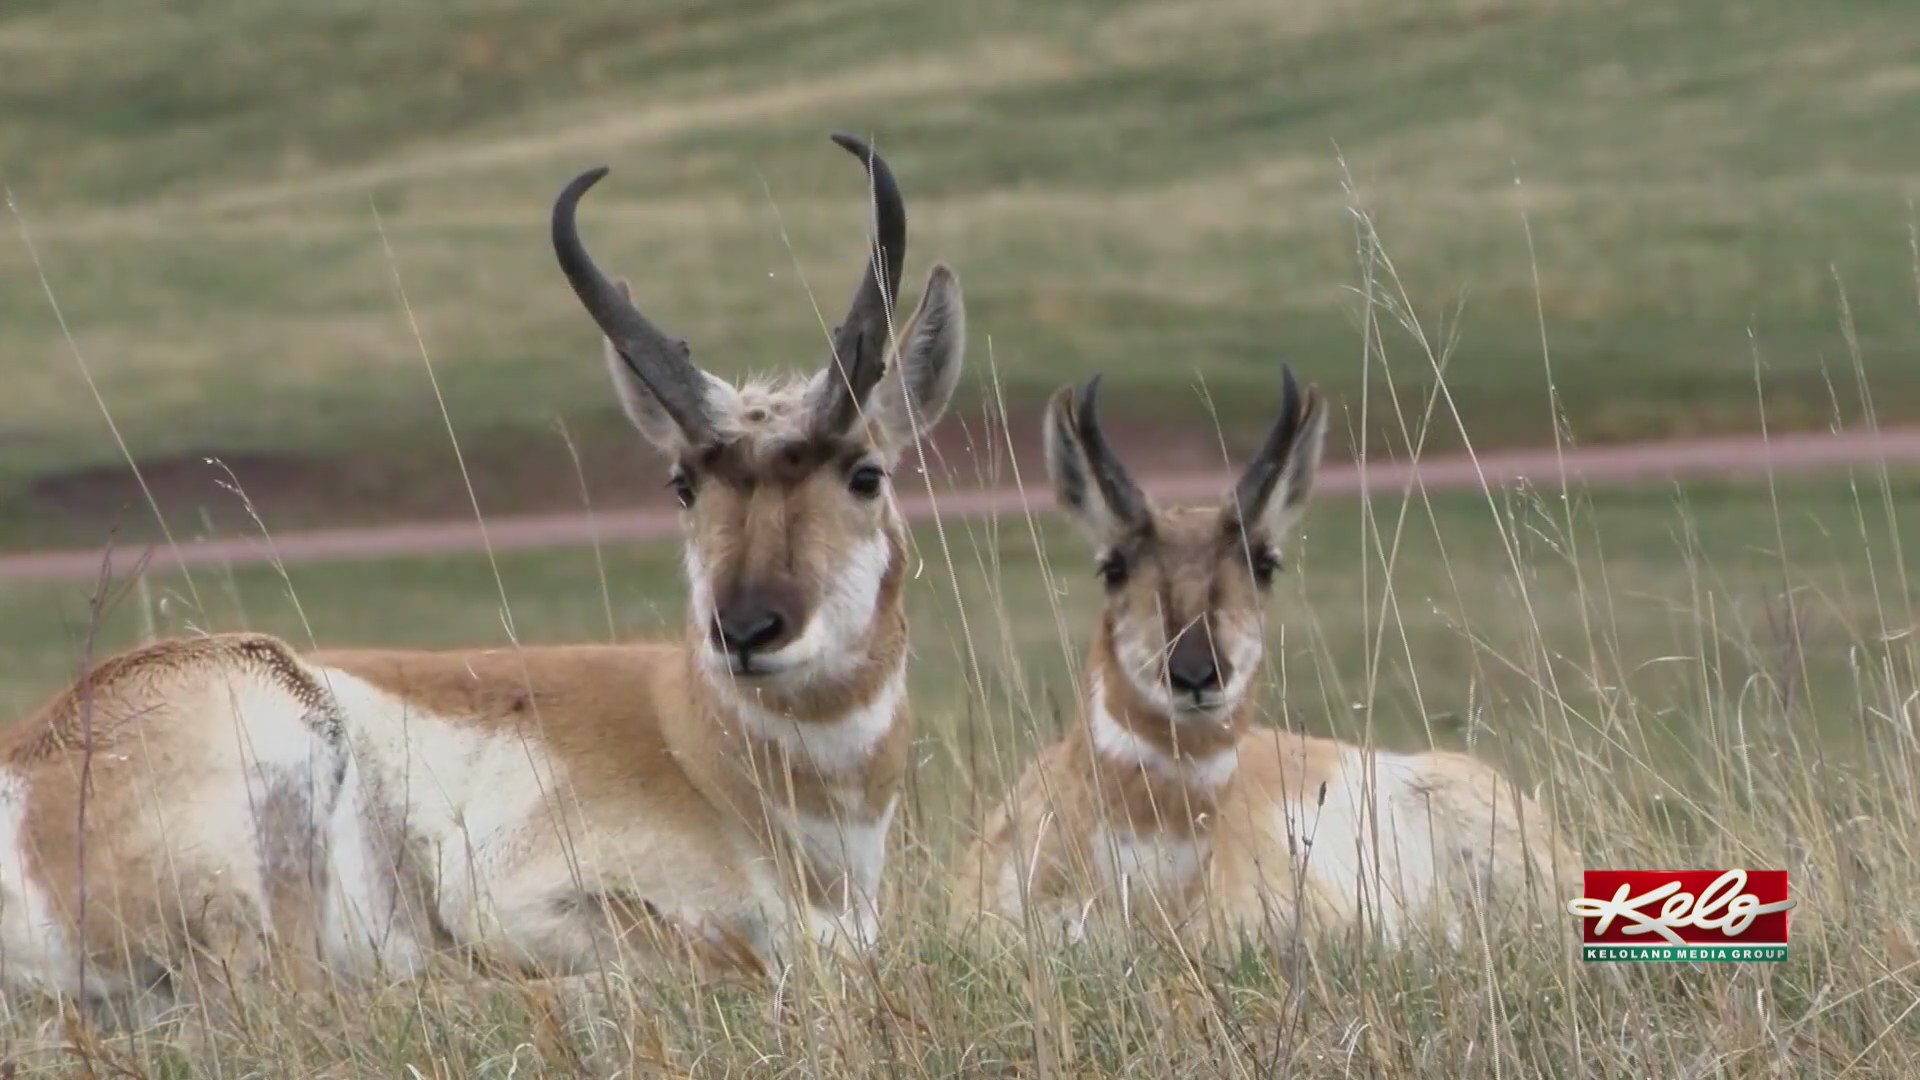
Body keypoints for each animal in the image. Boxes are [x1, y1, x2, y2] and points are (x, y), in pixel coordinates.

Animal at [0, 134, 966, 1022]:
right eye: (683, 483)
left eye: (866, 473)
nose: (748, 630)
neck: (697, 745)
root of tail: (37, 749)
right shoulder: (527, 900)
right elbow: (733, 955)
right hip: (273, 744)